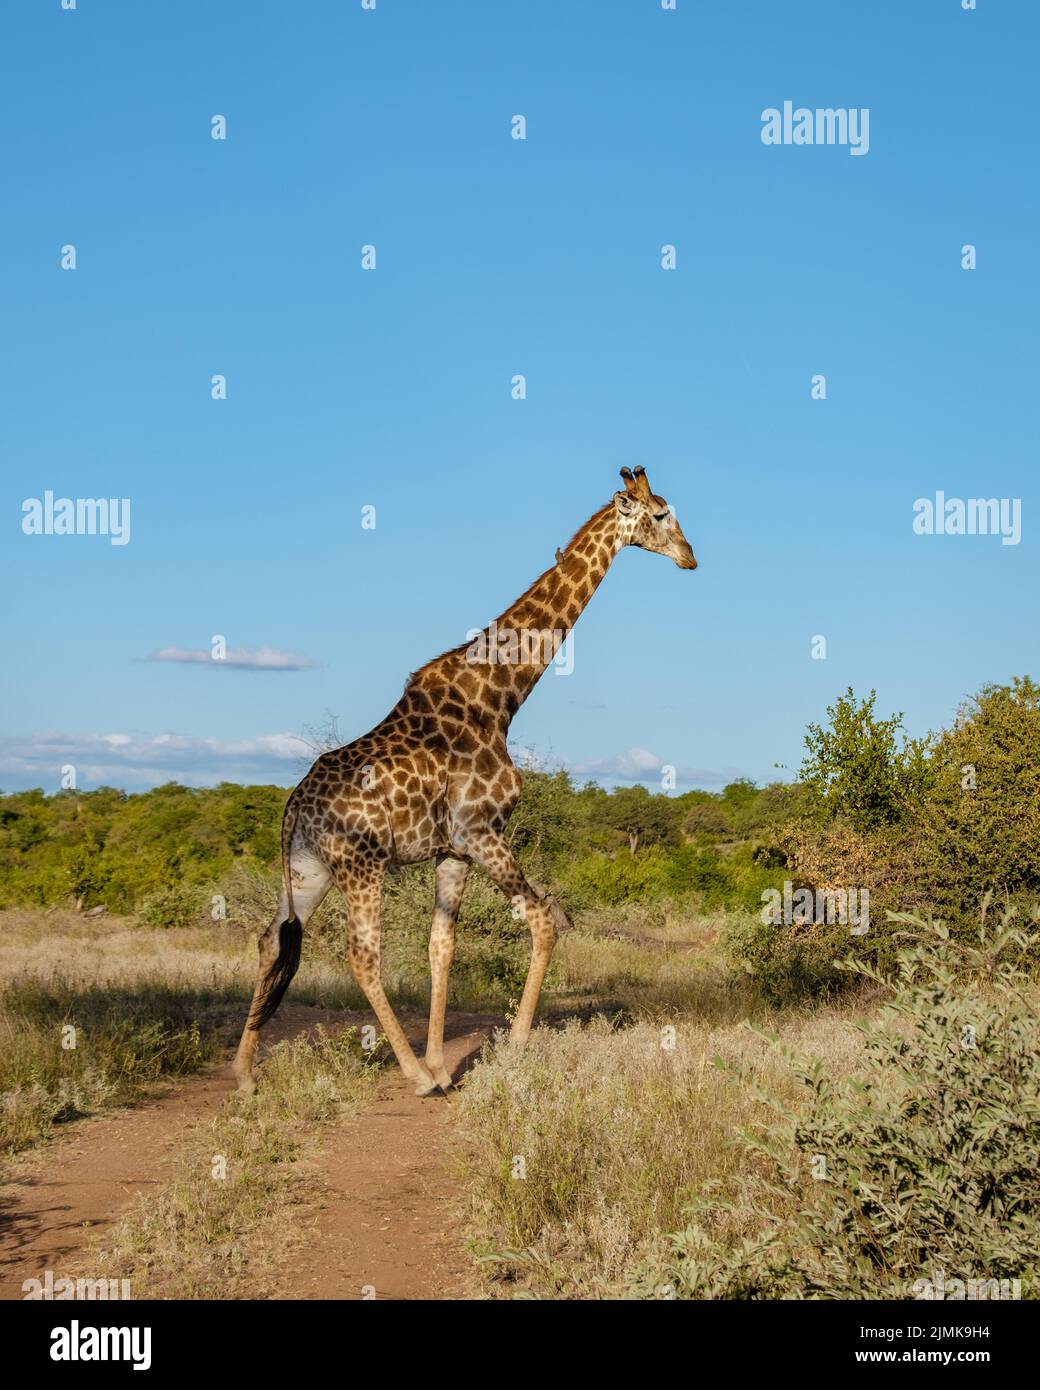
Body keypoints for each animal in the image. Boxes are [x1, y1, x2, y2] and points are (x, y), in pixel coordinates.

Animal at [232, 466, 697, 1097]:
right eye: (660, 515)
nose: (690, 556)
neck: (498, 697)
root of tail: (294, 809)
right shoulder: (483, 831)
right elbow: (545, 920)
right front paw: (512, 1046)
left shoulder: (451, 849)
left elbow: (442, 946)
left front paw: (440, 1063)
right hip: (360, 864)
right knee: (362, 955)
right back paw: (409, 1075)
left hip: (308, 869)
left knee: (270, 938)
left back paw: (244, 1074)